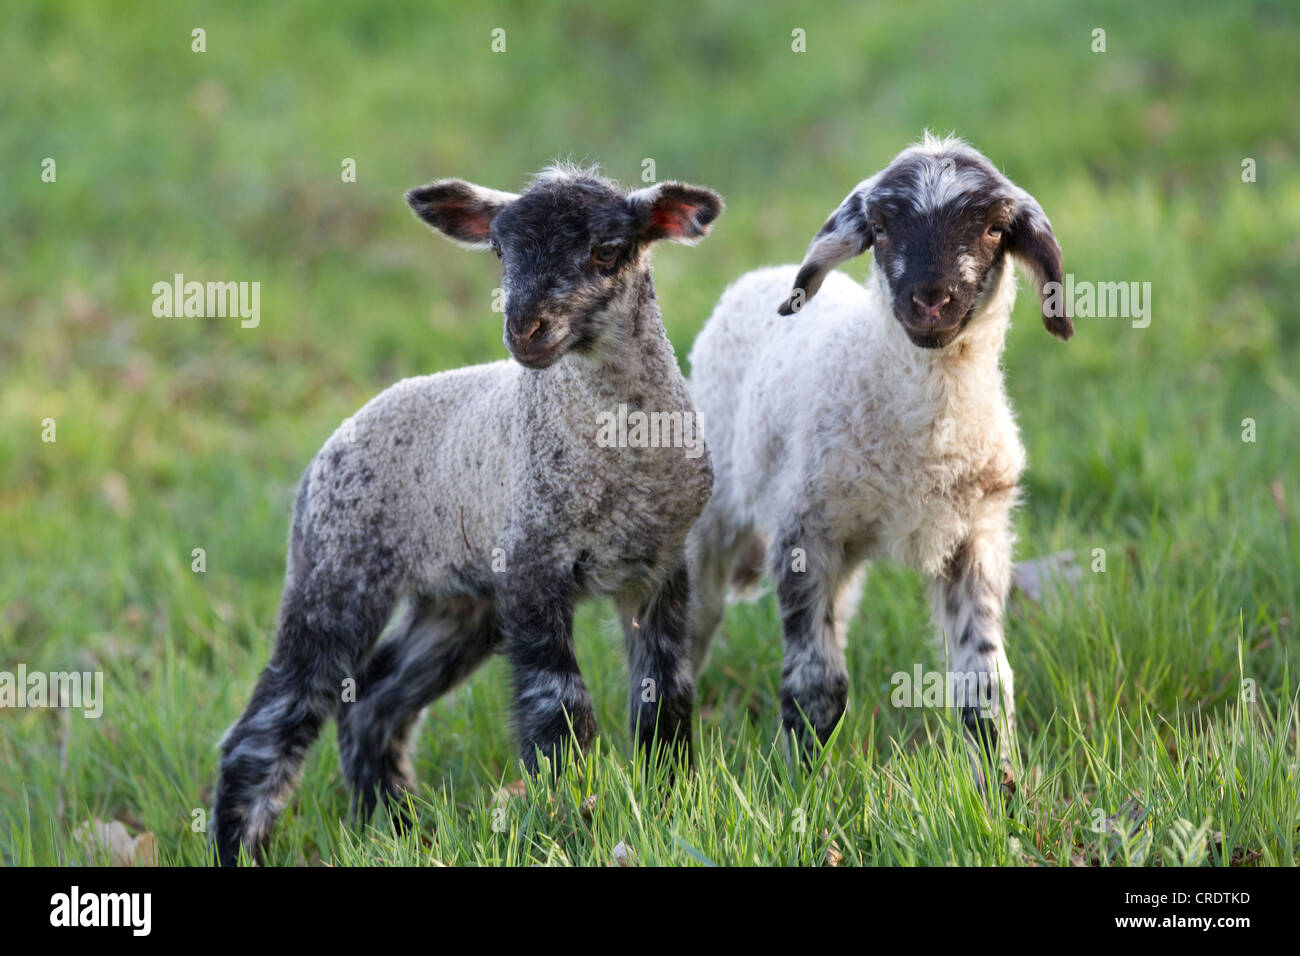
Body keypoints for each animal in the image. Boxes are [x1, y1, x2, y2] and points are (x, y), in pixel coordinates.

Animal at [212, 163, 723, 865]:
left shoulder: (660, 569)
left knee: (374, 699)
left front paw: (669, 804)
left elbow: (665, 701)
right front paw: (576, 816)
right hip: (336, 570)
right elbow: (559, 710)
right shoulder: (533, 565)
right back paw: (245, 845)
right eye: (500, 252)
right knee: (273, 718)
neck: (622, 456)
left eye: (607, 250)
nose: (525, 332)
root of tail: (334, 440)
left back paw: (394, 824)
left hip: (460, 603)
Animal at [685, 134, 1071, 785]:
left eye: (995, 229)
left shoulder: (976, 538)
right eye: (882, 227)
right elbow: (817, 684)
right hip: (714, 515)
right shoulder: (803, 532)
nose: (931, 300)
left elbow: (984, 682)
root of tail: (758, 276)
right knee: (685, 628)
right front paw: (800, 788)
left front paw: (1001, 788)